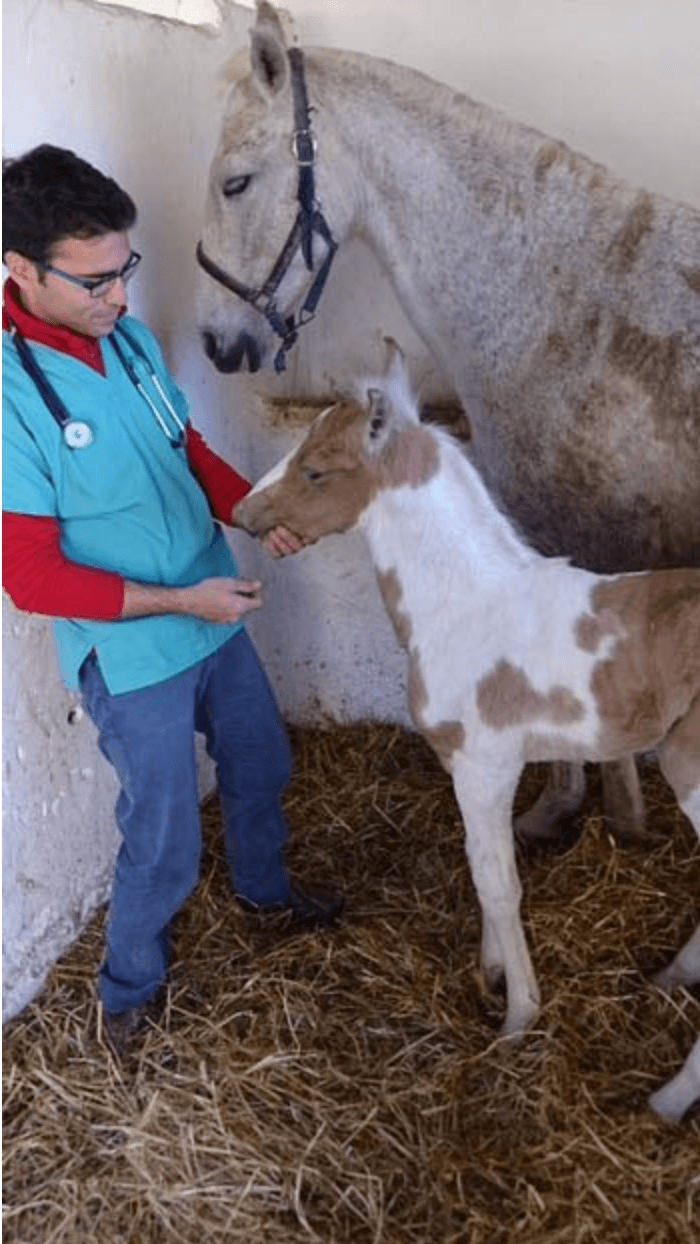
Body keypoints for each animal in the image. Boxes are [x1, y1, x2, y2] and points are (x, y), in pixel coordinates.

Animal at [232, 343, 700, 1120]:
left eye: (316, 469)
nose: (244, 511)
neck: (467, 603)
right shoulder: (468, 767)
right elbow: (484, 866)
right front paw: (491, 972)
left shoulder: (486, 765)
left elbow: (498, 880)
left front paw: (518, 1017)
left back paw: (667, 1099)